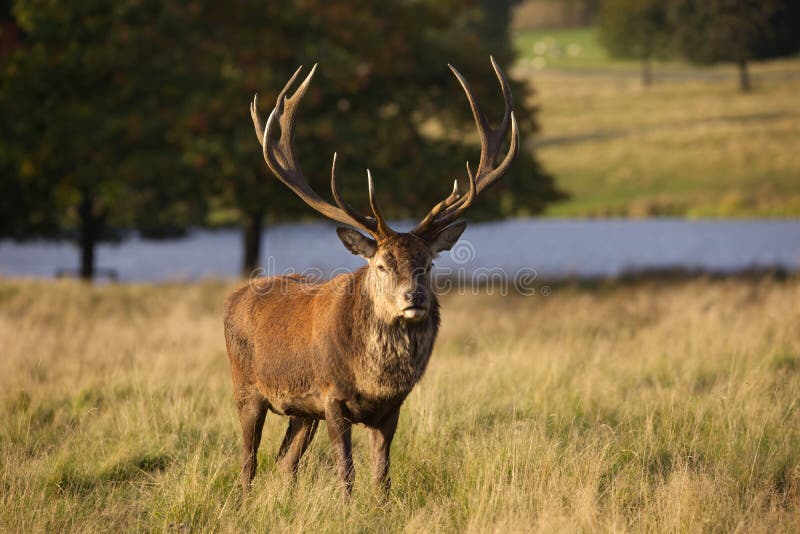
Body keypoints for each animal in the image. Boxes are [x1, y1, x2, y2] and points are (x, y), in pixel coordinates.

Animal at [224, 57, 518, 497]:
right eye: (381, 264)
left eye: (429, 263)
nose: (415, 298)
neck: (374, 380)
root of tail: (235, 297)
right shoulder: (331, 398)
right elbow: (346, 473)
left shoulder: (391, 409)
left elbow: (382, 476)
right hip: (246, 387)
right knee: (248, 464)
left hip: (301, 411)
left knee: (284, 463)